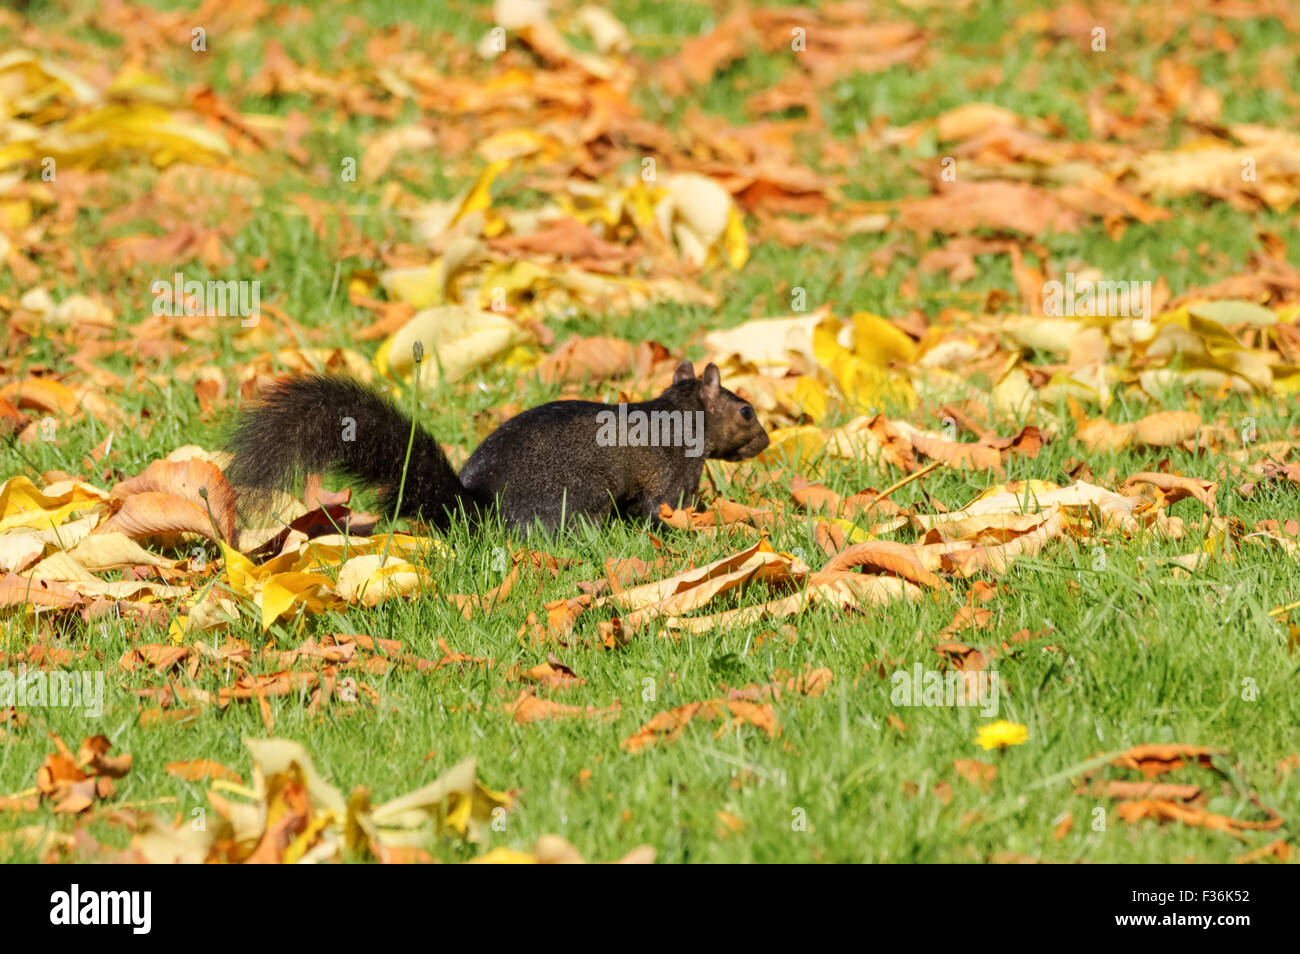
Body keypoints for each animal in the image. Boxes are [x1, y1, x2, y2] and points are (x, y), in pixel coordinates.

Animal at [224, 360, 770, 533]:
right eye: (746, 411)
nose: (766, 440)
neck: (678, 414)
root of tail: (478, 506)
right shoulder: (672, 478)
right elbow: (665, 509)